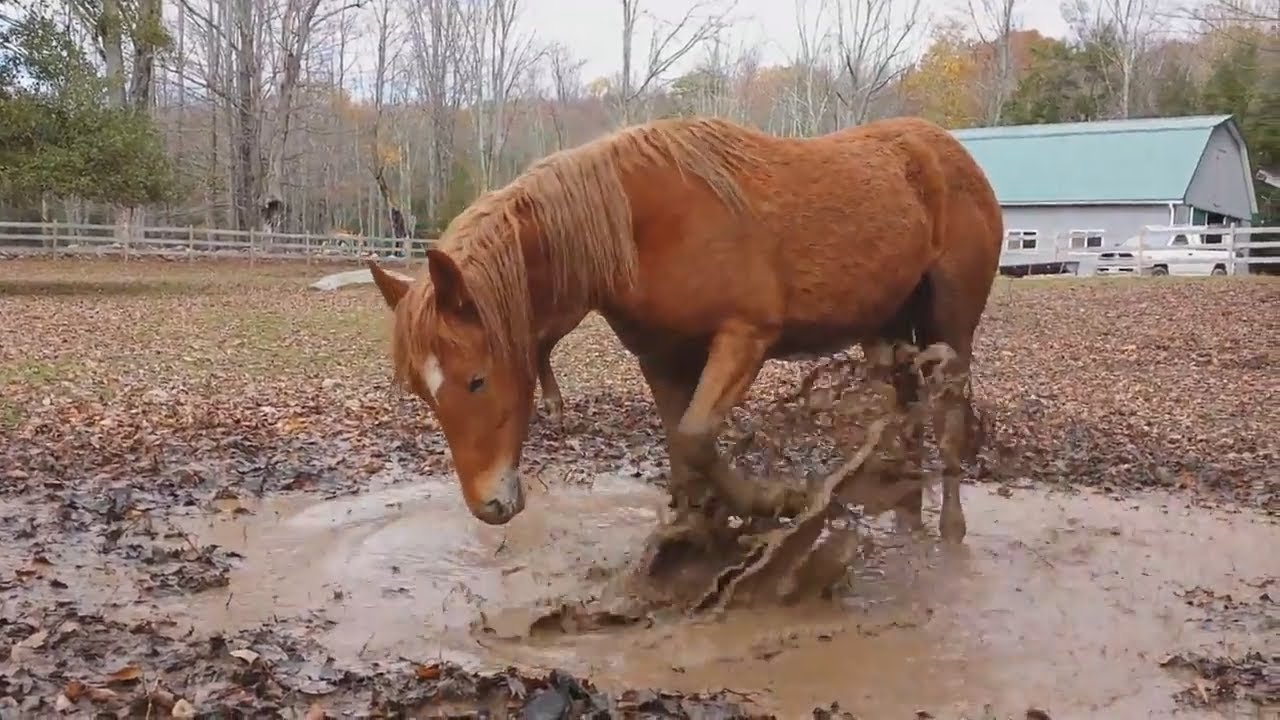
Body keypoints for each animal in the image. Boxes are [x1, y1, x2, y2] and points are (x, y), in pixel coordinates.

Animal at [367, 115, 1003, 542]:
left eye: (476, 380)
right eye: (424, 393)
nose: (488, 507)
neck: (643, 227)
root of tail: (951, 154)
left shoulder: (744, 338)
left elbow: (697, 438)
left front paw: (774, 499)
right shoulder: (660, 358)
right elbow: (680, 448)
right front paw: (688, 541)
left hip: (952, 323)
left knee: (948, 415)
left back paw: (950, 527)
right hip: (895, 326)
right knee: (909, 404)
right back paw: (907, 512)